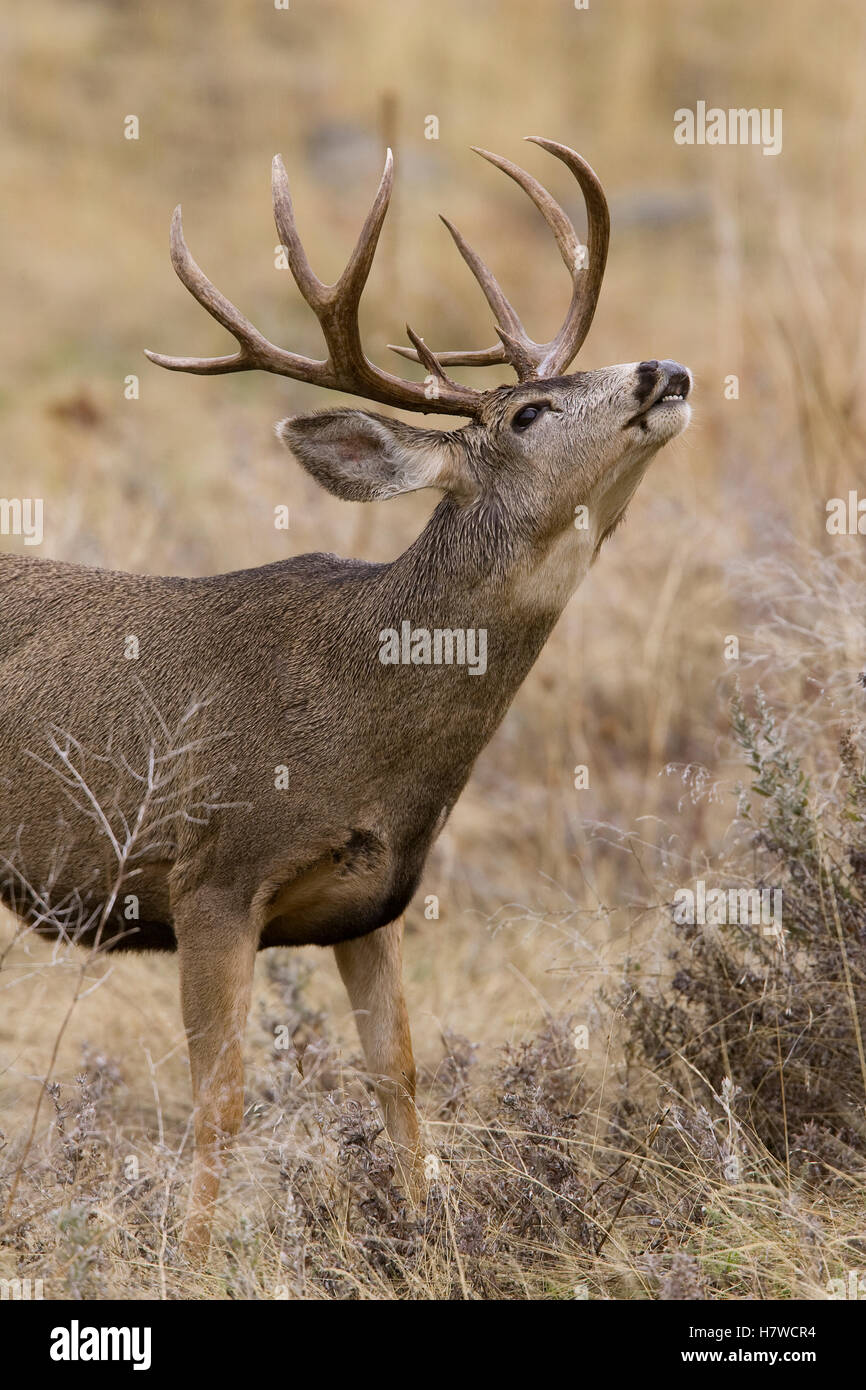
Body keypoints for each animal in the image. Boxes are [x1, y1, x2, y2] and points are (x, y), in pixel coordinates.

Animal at [0, 137, 691, 1262]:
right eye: (528, 411)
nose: (661, 370)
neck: (360, 722)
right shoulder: (212, 873)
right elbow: (221, 1099)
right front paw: (195, 1259)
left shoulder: (377, 902)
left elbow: (397, 1076)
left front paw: (424, 1232)